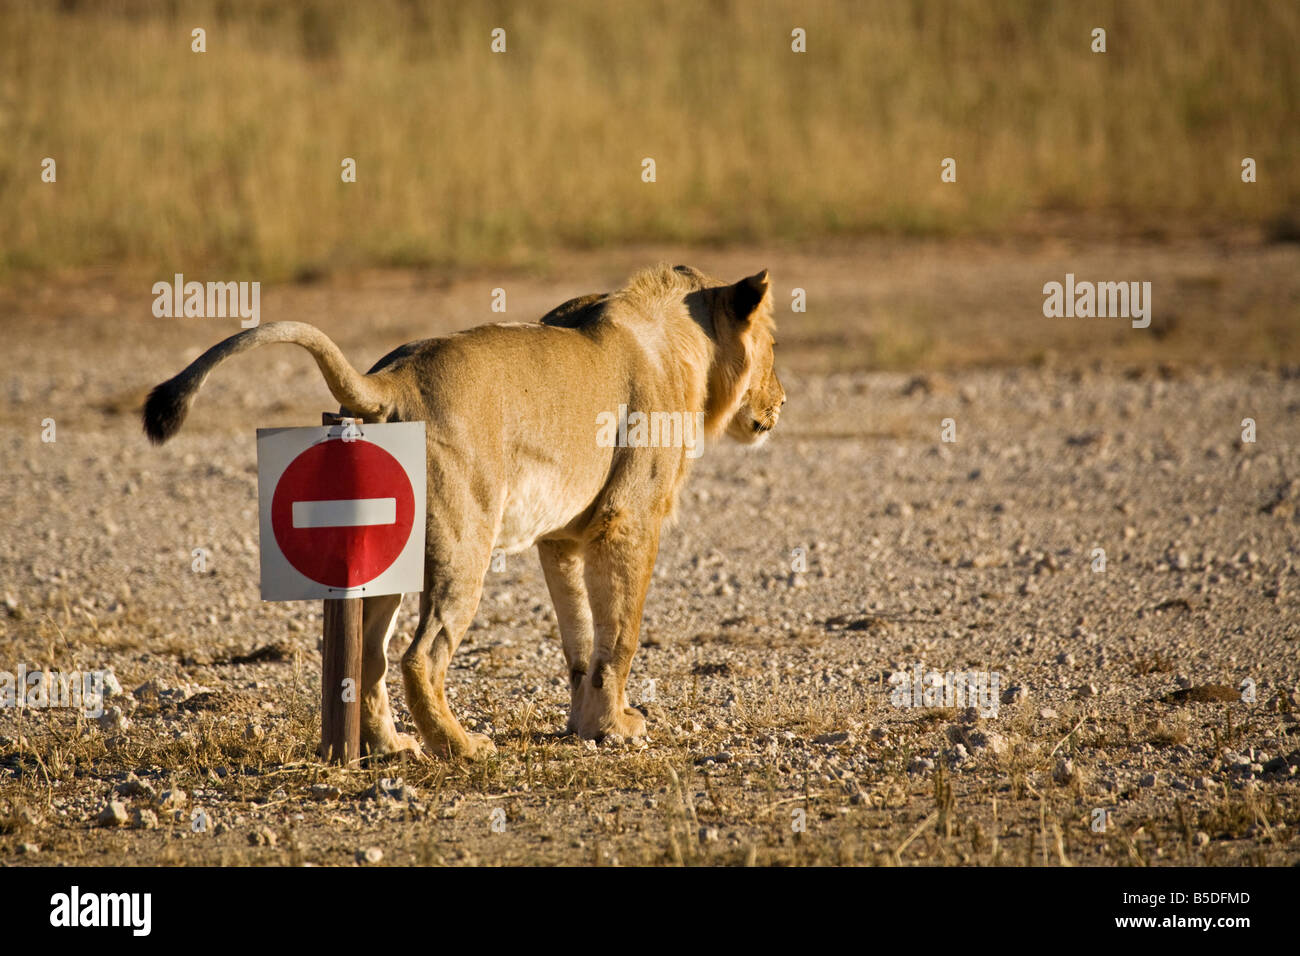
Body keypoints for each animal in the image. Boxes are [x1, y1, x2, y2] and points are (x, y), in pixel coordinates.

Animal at [142, 264, 785, 760]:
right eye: (775, 348)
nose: (781, 401)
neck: (685, 340)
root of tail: (391, 379)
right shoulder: (629, 519)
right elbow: (619, 636)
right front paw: (618, 727)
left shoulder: (562, 538)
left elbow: (580, 637)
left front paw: (586, 725)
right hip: (464, 541)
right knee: (420, 656)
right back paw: (462, 746)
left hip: (385, 547)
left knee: (368, 654)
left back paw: (391, 745)